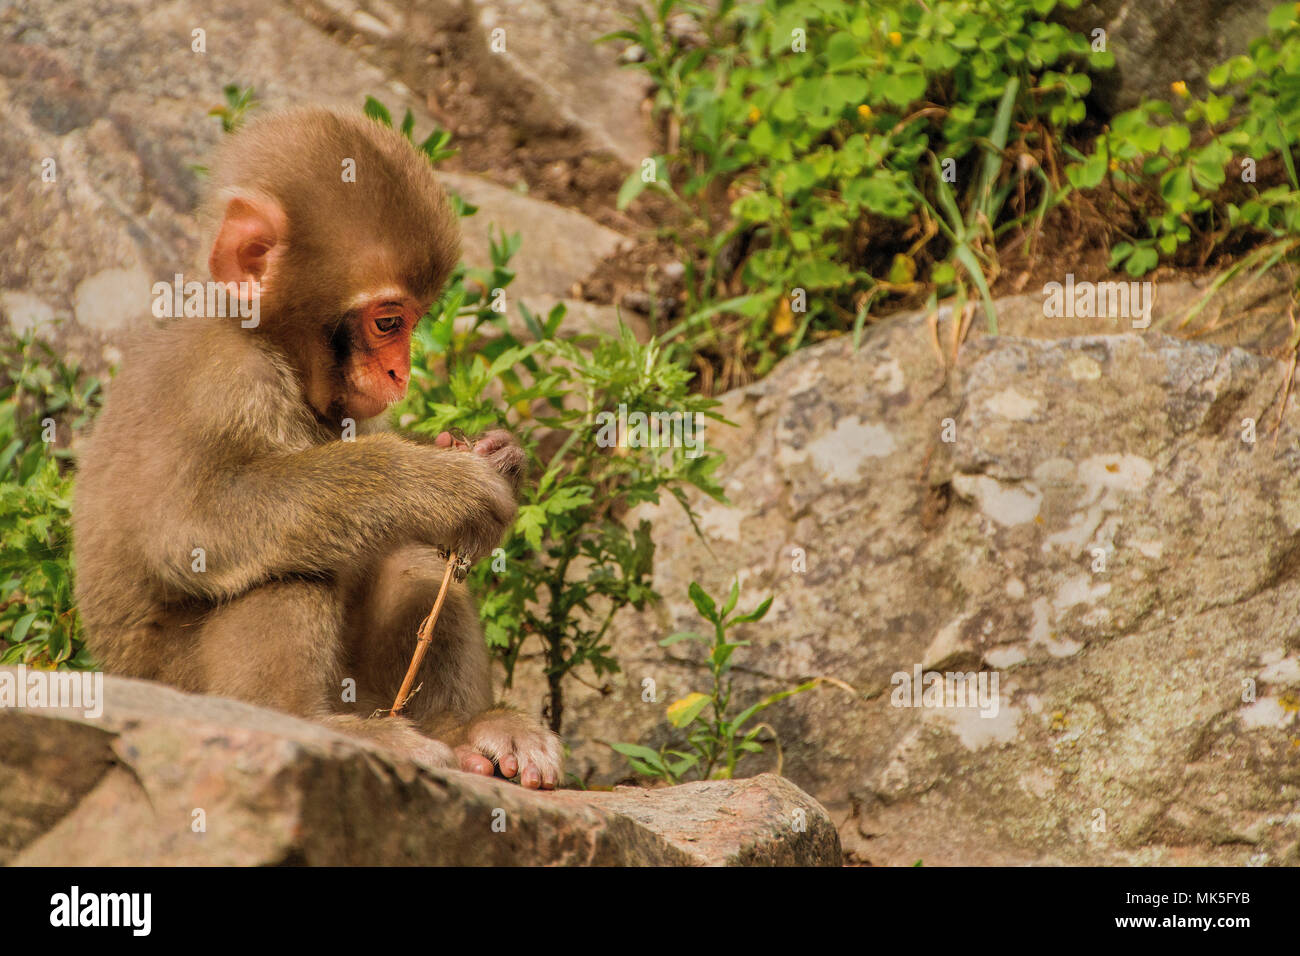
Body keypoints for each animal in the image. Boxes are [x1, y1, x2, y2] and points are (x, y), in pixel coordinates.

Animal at [71, 107, 562, 789]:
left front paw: (497, 454)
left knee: (410, 562)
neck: (266, 341)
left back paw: (467, 732)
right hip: (186, 684)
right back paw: (312, 724)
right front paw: (442, 485)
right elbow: (186, 525)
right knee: (284, 567)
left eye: (413, 323)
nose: (402, 375)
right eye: (388, 323)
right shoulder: (224, 382)